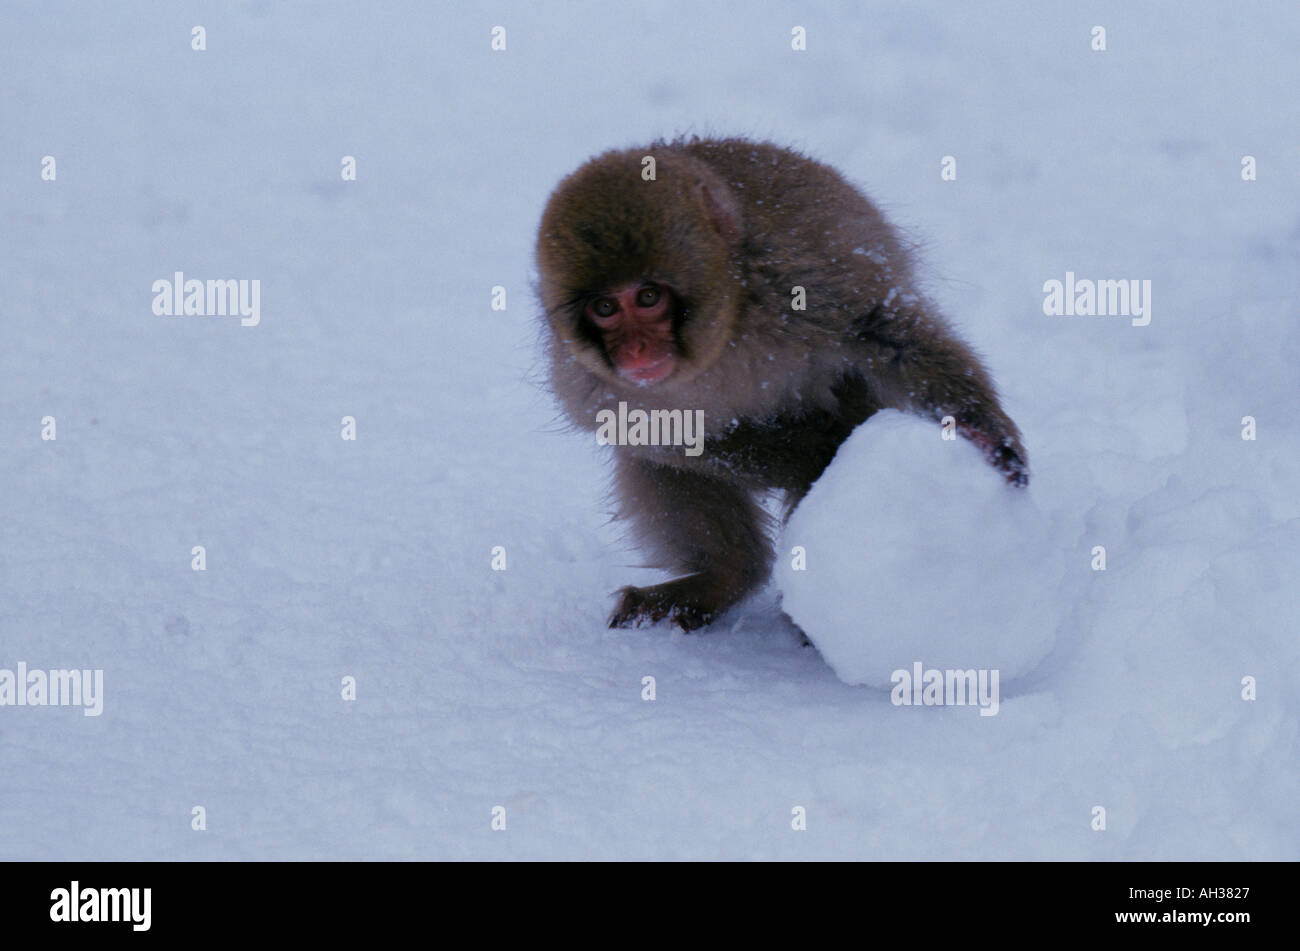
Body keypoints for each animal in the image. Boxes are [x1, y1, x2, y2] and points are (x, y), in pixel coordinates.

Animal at [536, 137, 1028, 632]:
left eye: (648, 297)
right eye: (604, 308)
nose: (636, 352)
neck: (725, 330)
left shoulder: (804, 275)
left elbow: (889, 338)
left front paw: (989, 435)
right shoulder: (588, 382)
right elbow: (653, 437)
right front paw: (817, 452)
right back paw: (723, 576)